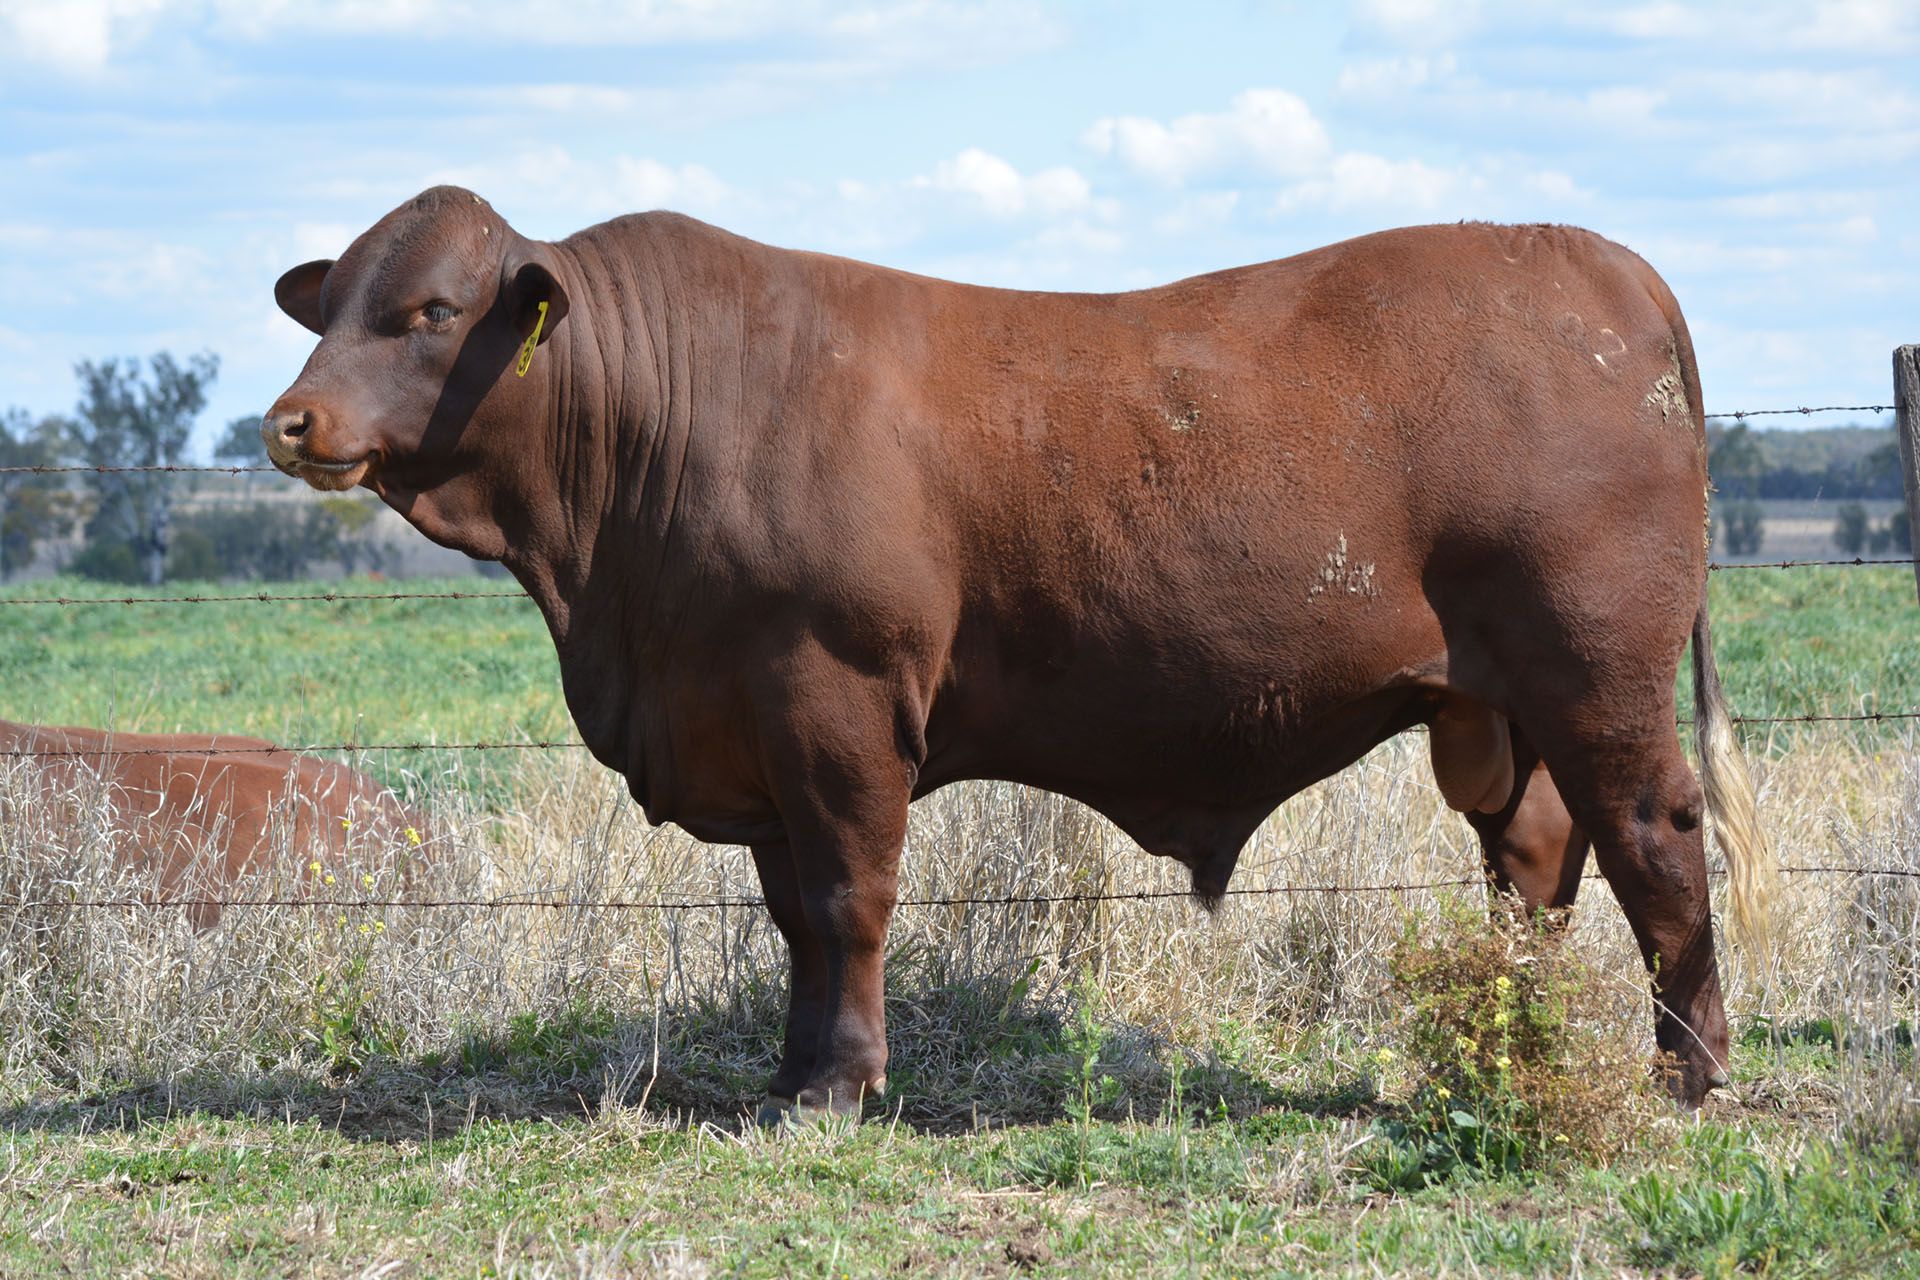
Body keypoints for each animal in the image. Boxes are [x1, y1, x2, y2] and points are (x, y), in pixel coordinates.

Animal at [263, 186, 1773, 1117]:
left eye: (432, 312)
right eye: (329, 306)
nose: (289, 422)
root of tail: (1594, 256)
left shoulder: (832, 698)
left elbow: (849, 902)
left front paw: (840, 1088)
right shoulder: (749, 722)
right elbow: (792, 917)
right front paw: (786, 1076)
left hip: (1599, 671)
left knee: (1653, 837)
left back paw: (1690, 1070)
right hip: (1498, 706)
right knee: (1535, 861)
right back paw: (1504, 1049)